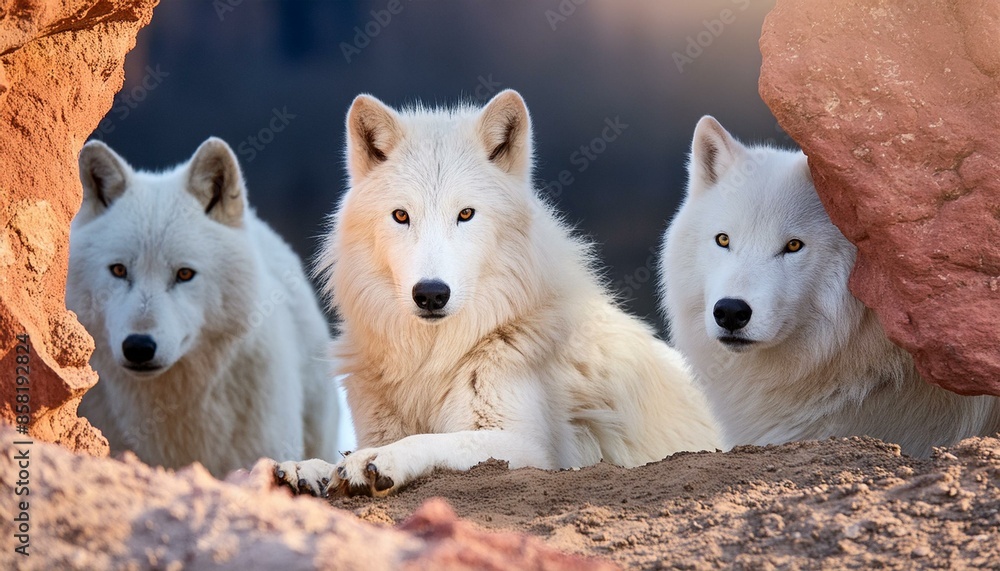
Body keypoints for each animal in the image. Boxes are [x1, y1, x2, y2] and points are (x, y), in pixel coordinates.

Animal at [273, 90, 720, 497]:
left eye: (466, 214)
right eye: (401, 215)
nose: (431, 294)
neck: (431, 360)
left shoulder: (530, 446)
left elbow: (436, 440)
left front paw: (380, 460)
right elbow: (342, 455)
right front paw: (307, 468)